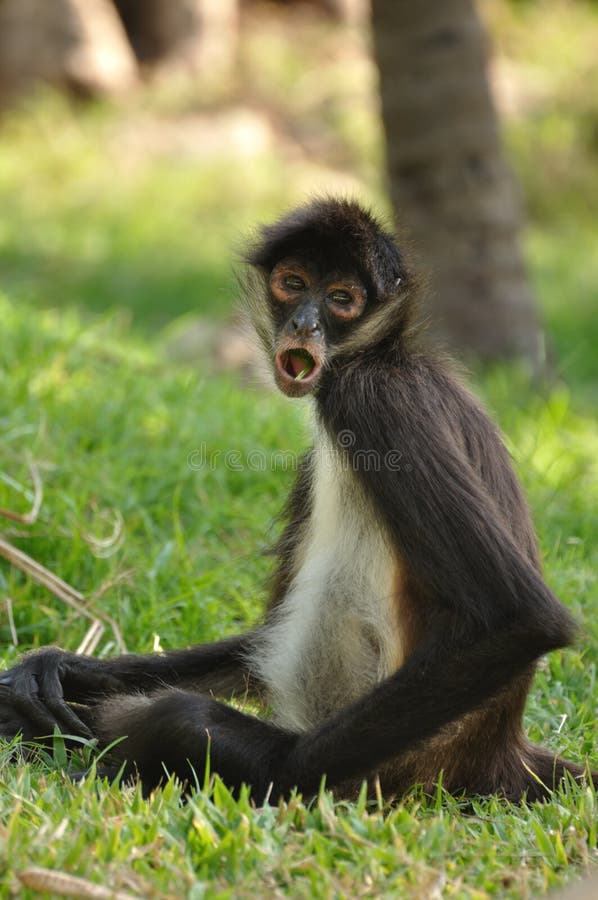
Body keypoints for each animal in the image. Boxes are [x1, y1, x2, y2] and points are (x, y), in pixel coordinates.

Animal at [0, 197, 595, 803]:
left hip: (395, 771)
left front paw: (277, 772)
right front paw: (64, 668)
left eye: (341, 299)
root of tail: (499, 751)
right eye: (293, 284)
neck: (386, 355)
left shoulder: (372, 398)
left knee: (182, 717)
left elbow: (521, 617)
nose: (304, 323)